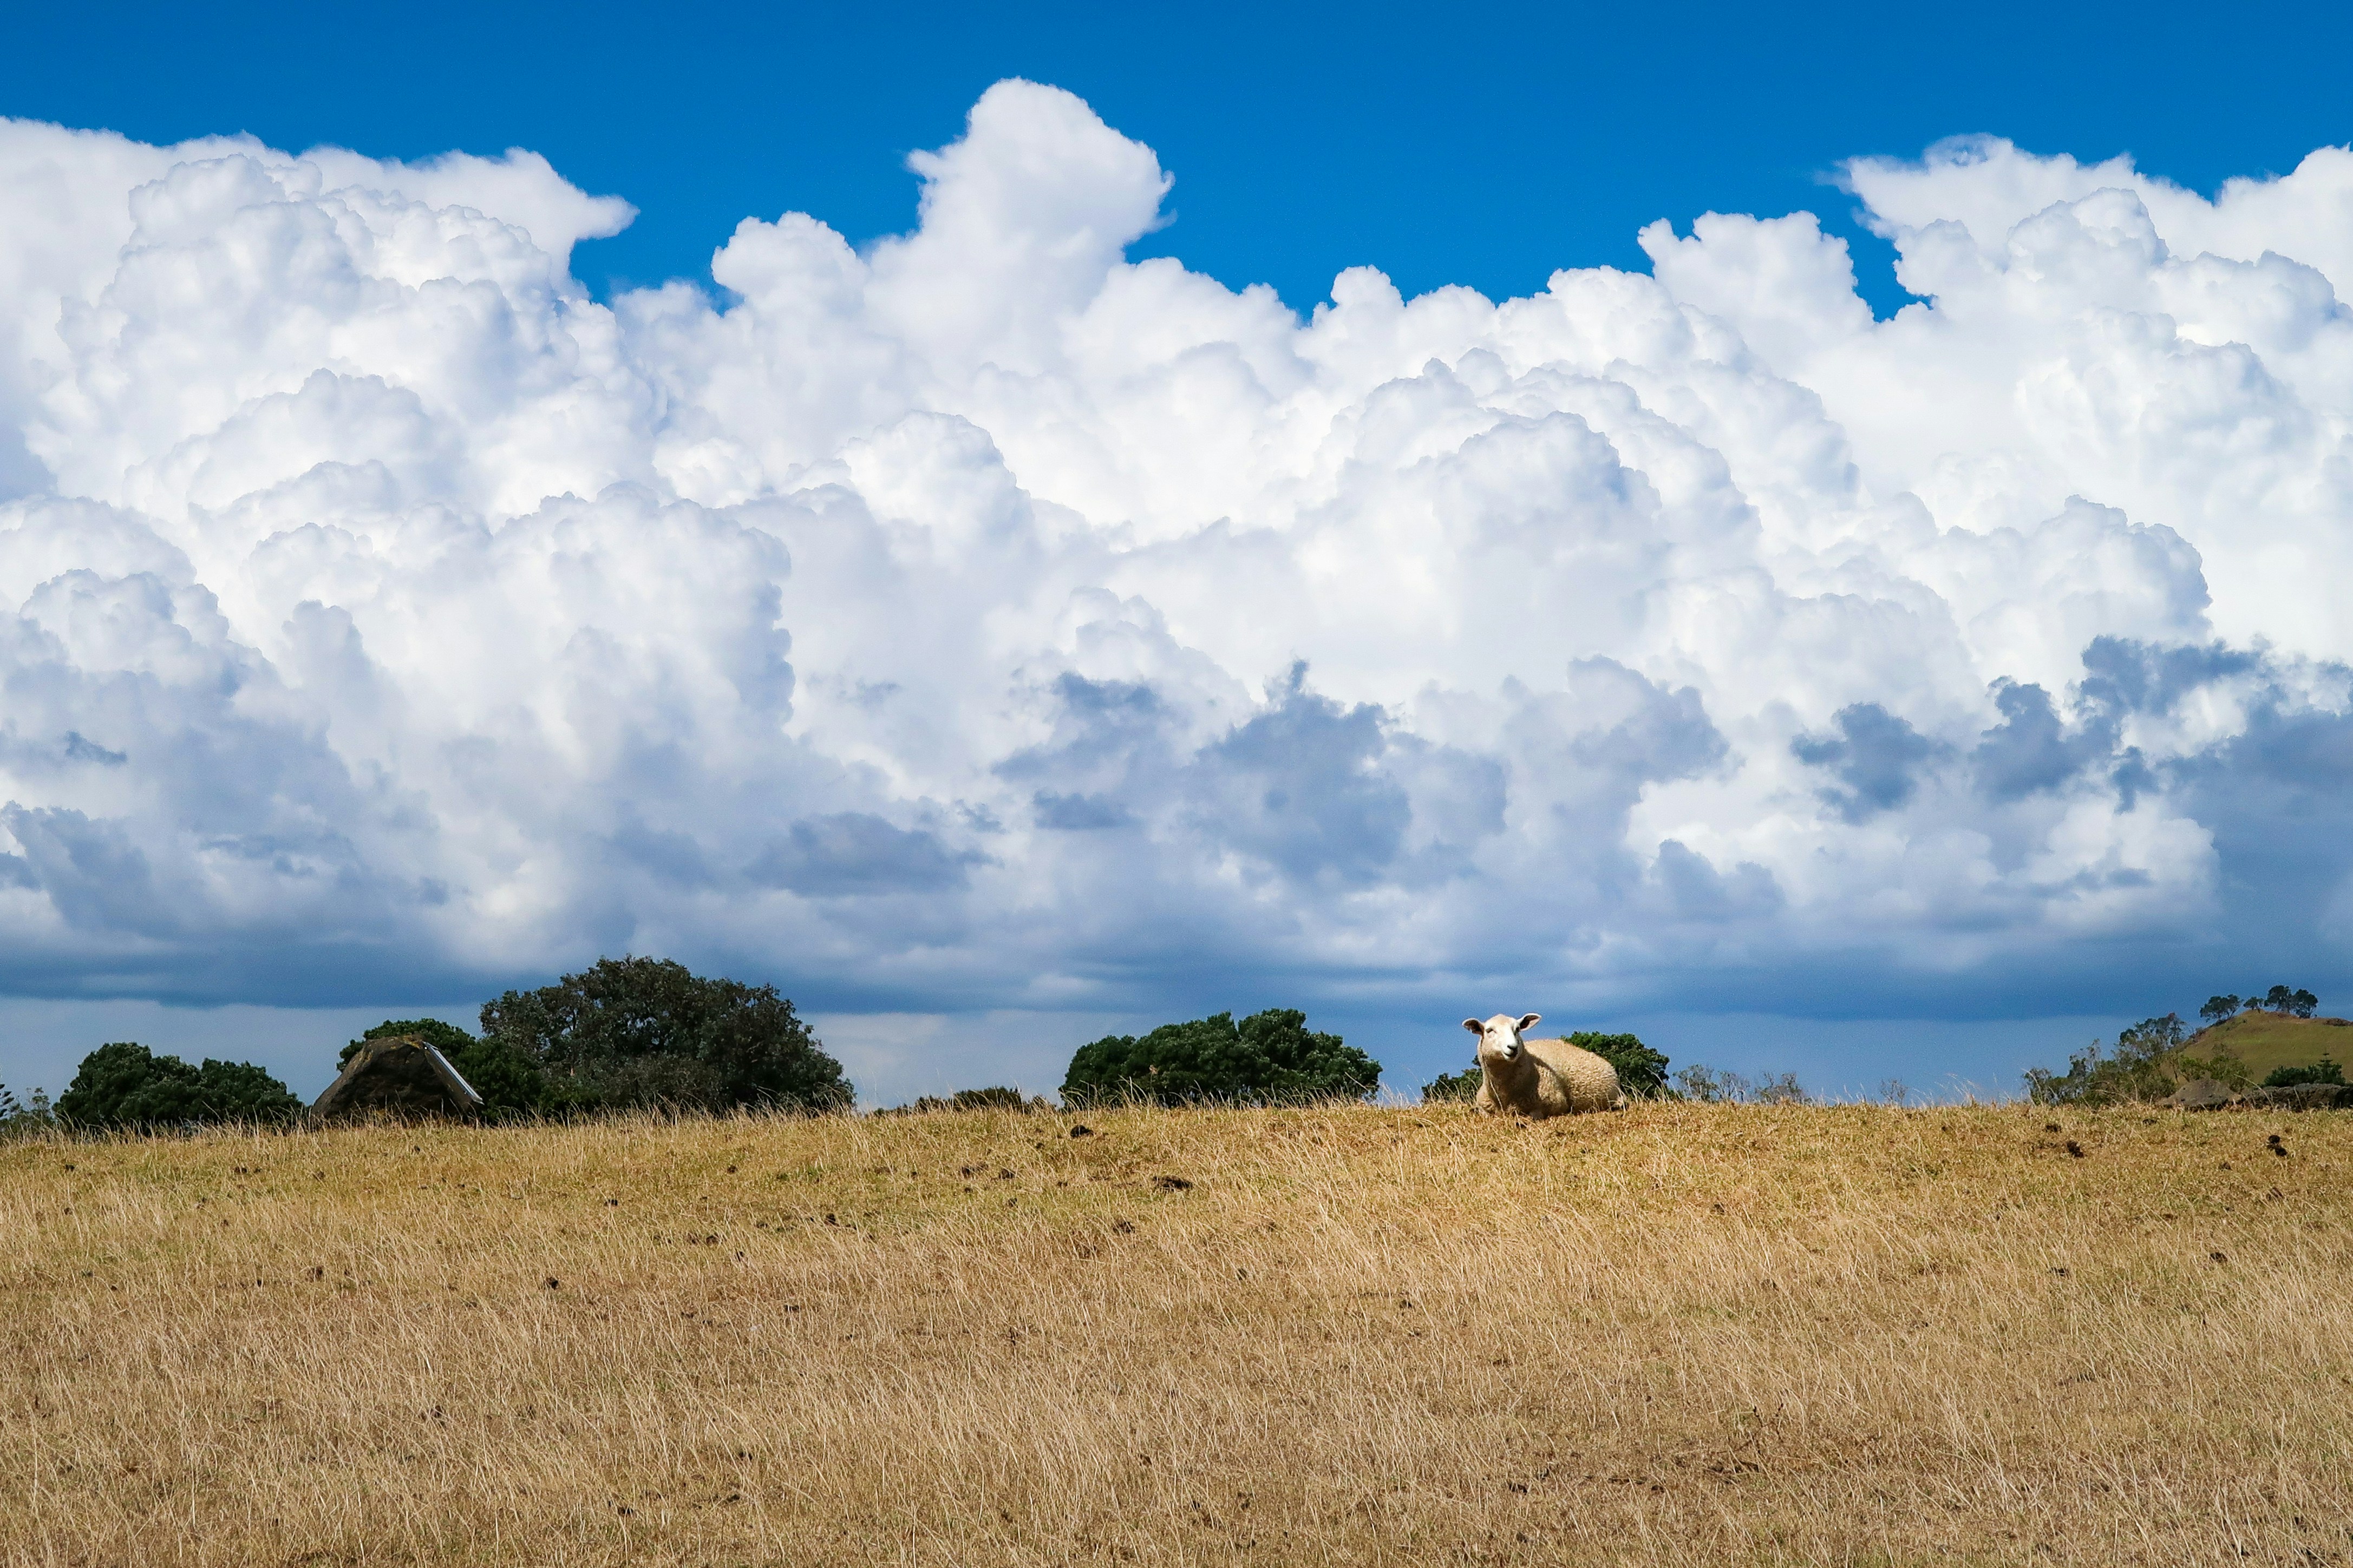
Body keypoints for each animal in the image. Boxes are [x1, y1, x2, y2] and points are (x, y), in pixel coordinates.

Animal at [1462, 1013, 1626, 1118]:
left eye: (1518, 1029)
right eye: (1490, 1030)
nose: (1513, 1047)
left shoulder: (1555, 1104)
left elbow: (1534, 1115)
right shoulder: (1484, 1106)